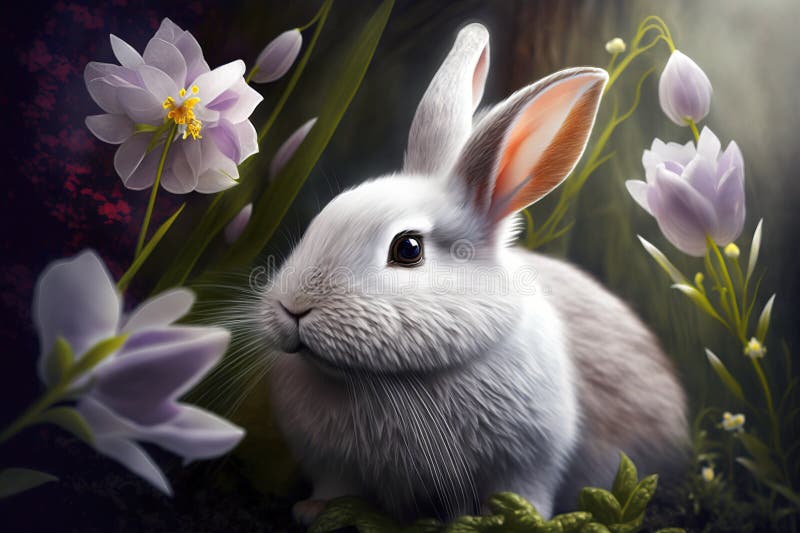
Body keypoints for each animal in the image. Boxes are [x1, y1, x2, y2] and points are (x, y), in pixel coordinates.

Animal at [258, 23, 689, 524]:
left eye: (408, 249)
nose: (293, 307)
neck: (386, 380)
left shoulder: (529, 460)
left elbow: (524, 492)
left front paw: (510, 519)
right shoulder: (333, 465)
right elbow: (336, 488)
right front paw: (313, 511)